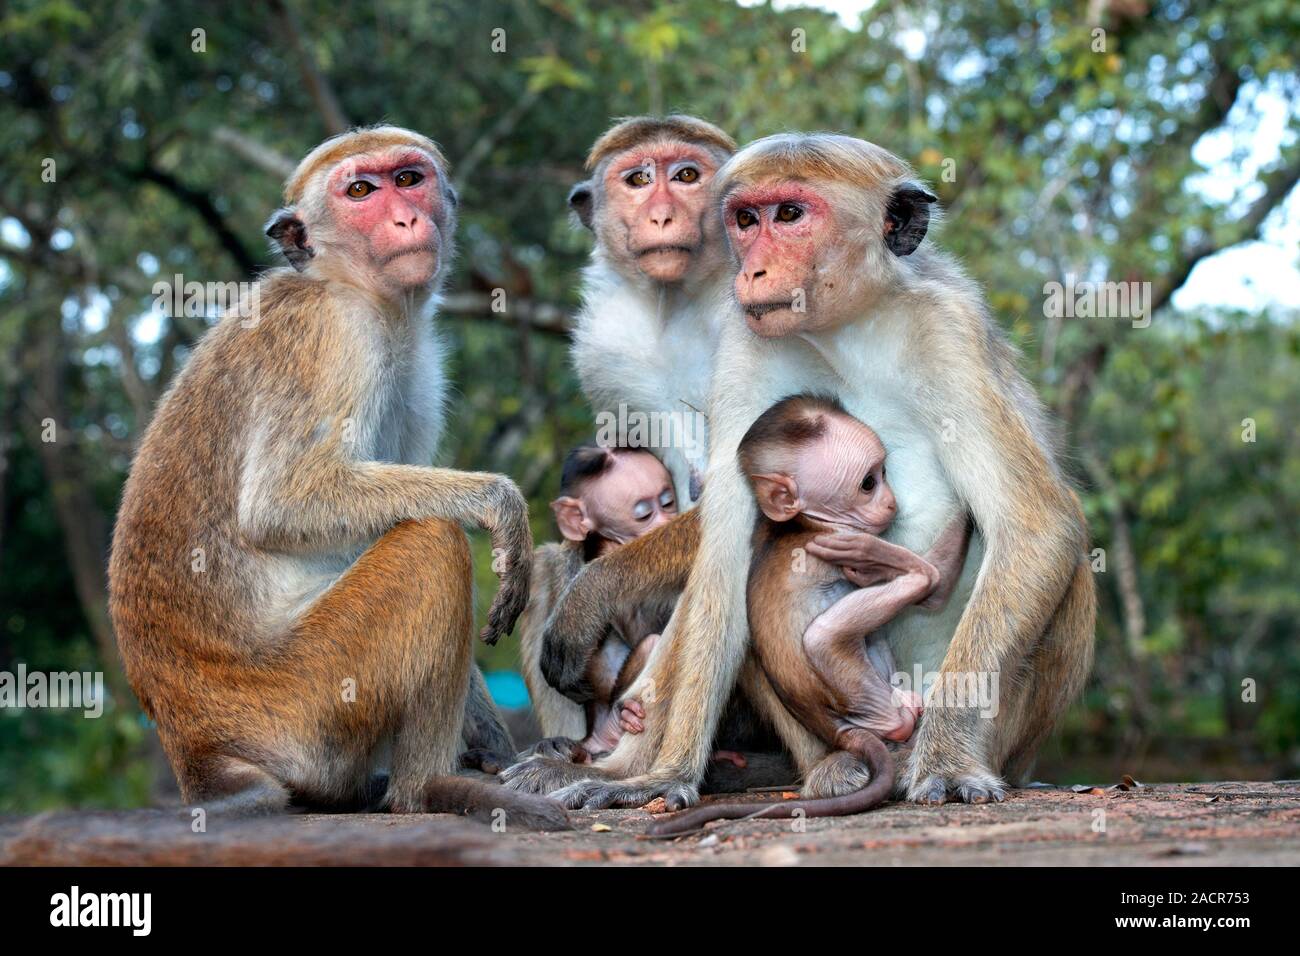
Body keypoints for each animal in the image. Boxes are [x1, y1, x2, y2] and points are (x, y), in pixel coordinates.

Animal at [107, 126, 568, 830]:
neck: (352, 287)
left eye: (407, 179)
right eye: (359, 192)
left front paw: (495, 744)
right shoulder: (332, 337)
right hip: (304, 704)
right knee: (430, 543)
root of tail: (196, 748)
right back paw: (426, 790)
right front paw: (498, 502)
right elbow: (280, 503)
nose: (405, 217)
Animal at [648, 393, 971, 836]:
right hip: (859, 694)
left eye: (883, 473)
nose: (892, 502)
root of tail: (838, 731)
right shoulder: (839, 539)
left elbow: (936, 591)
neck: (806, 523)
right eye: (868, 484)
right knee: (829, 636)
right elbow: (929, 584)